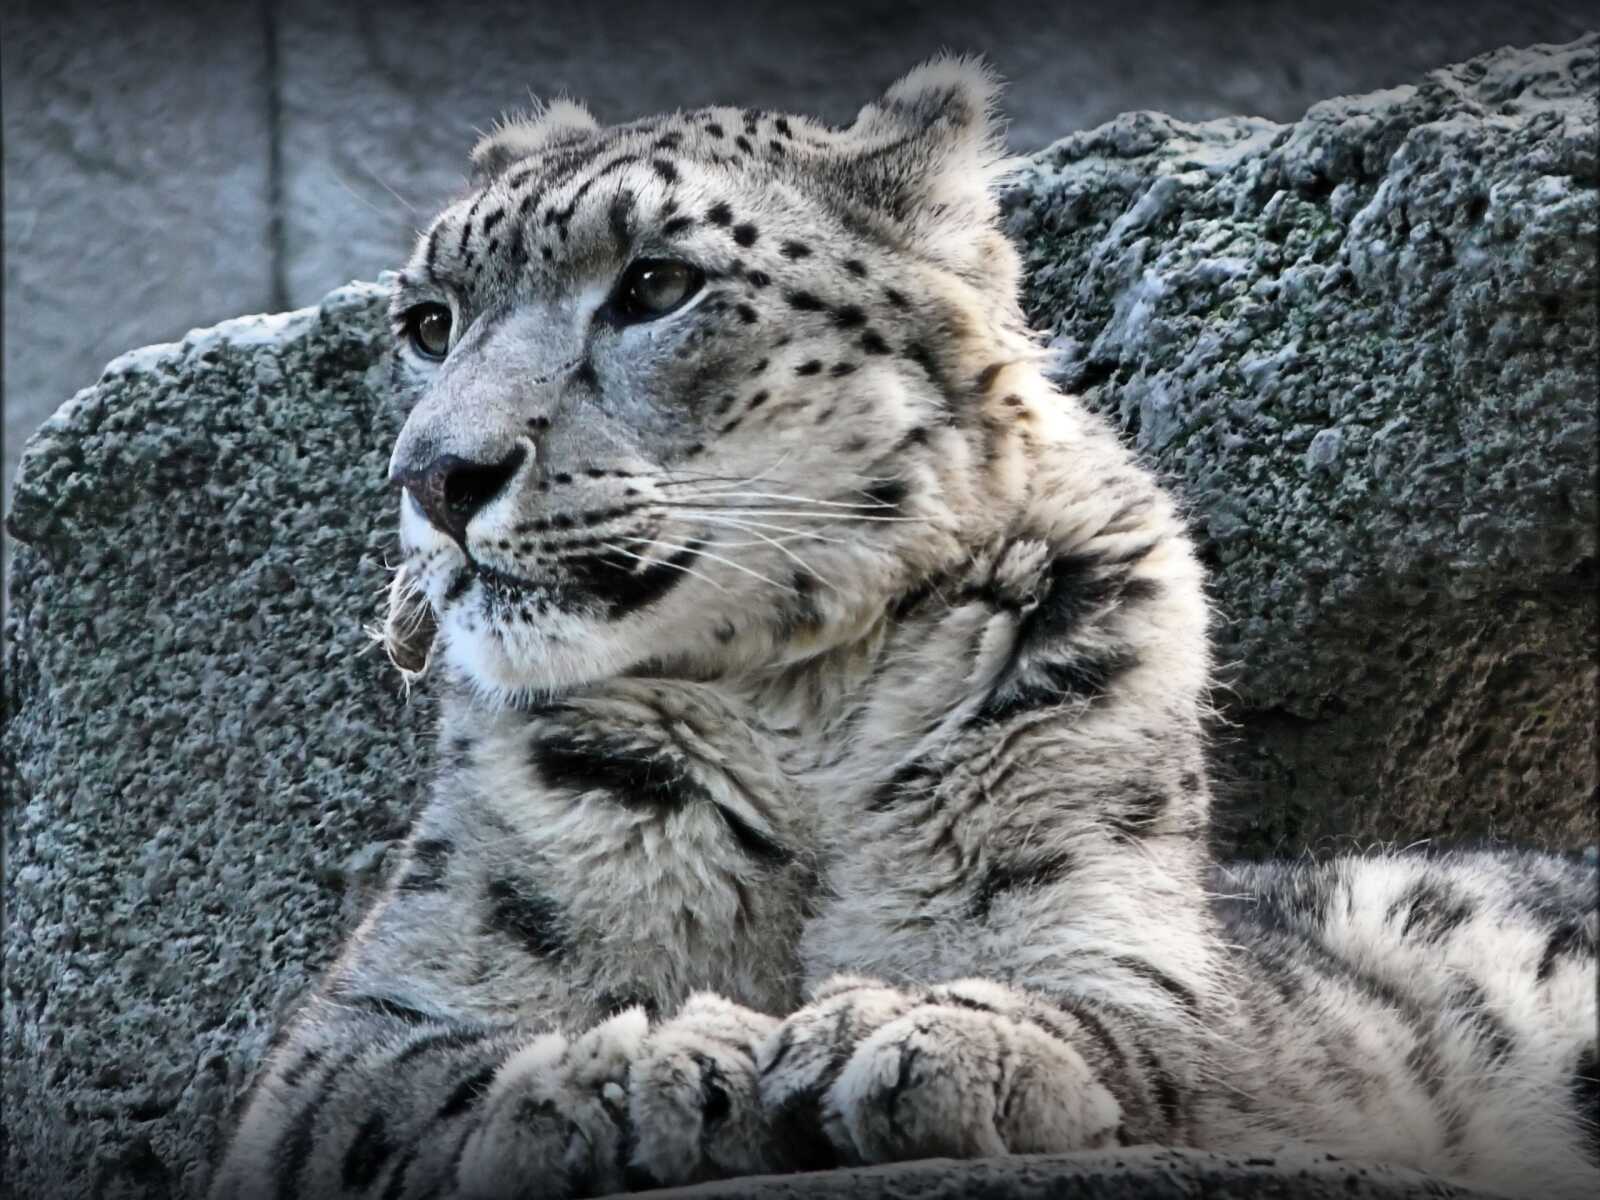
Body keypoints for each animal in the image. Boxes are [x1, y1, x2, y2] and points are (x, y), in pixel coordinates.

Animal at [209, 57, 1599, 1200]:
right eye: (428, 322)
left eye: (656, 282)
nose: (437, 476)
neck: (793, 714)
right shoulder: (371, 1012)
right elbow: (393, 1091)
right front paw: (646, 1068)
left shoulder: (1134, 945)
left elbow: (1146, 1033)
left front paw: (910, 1030)